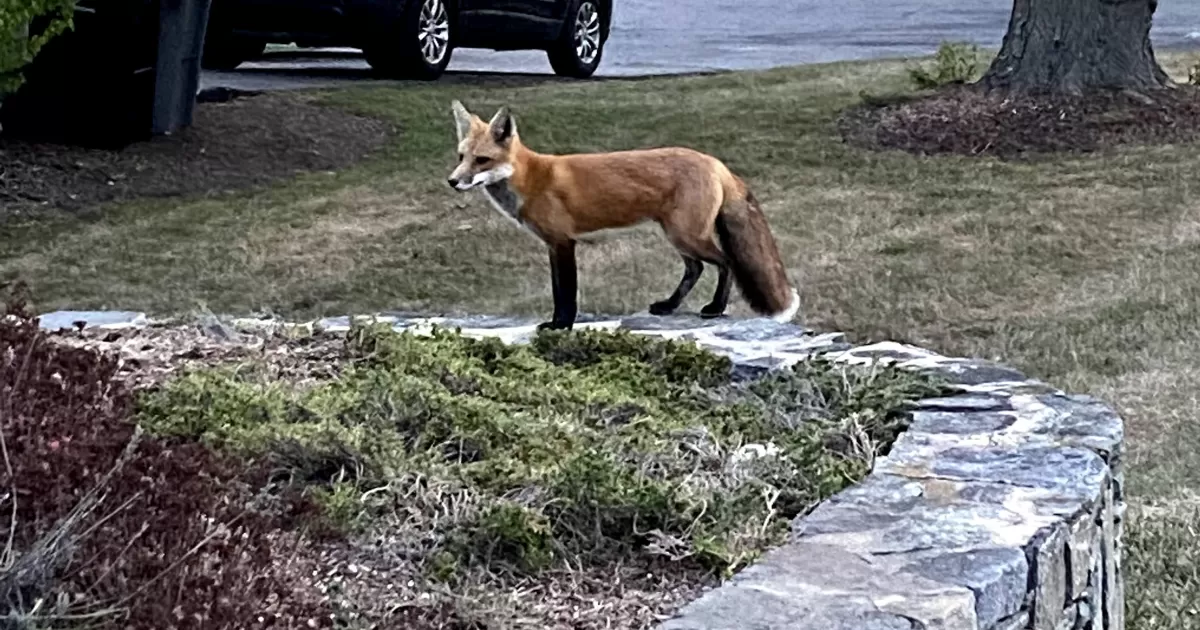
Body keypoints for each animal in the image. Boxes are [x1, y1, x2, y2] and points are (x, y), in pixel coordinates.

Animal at [445, 100, 801, 331]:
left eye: (482, 160)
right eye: (462, 157)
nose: (452, 181)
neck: (532, 179)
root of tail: (715, 162)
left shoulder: (562, 242)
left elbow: (566, 293)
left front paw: (561, 324)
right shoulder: (552, 245)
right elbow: (559, 289)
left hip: (686, 234)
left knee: (725, 262)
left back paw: (714, 308)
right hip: (678, 236)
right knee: (695, 268)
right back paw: (669, 306)